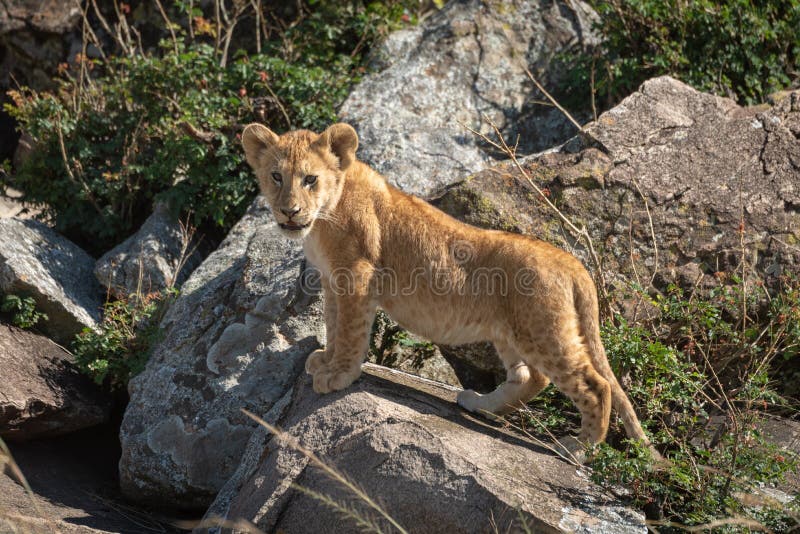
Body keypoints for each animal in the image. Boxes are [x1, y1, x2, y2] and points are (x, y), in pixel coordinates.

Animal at [241, 122, 656, 458]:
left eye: (310, 179)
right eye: (276, 176)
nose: (290, 212)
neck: (322, 218)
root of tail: (572, 263)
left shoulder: (357, 276)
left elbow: (350, 333)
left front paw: (339, 374)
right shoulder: (332, 280)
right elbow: (332, 323)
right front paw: (325, 360)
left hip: (545, 330)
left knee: (595, 385)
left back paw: (578, 449)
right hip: (510, 331)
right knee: (529, 378)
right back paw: (480, 403)